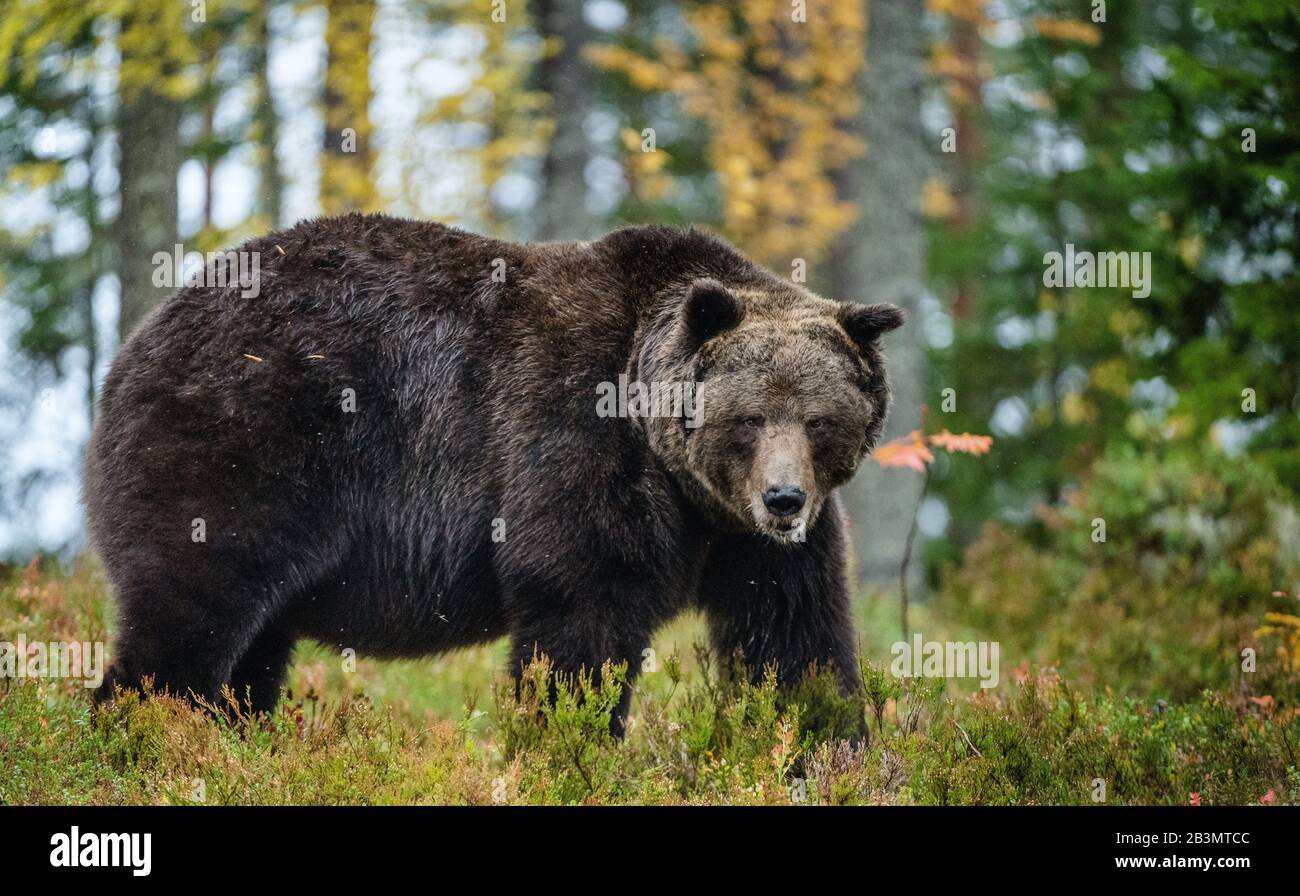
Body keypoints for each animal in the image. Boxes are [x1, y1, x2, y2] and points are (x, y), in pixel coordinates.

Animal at [85, 213, 904, 733]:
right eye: (749, 419)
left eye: (818, 420)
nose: (783, 499)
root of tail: (142, 335)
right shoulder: (573, 444)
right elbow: (580, 614)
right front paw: (566, 745)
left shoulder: (756, 544)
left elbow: (796, 641)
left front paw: (826, 747)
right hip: (245, 448)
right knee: (189, 615)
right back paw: (145, 735)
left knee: (253, 654)